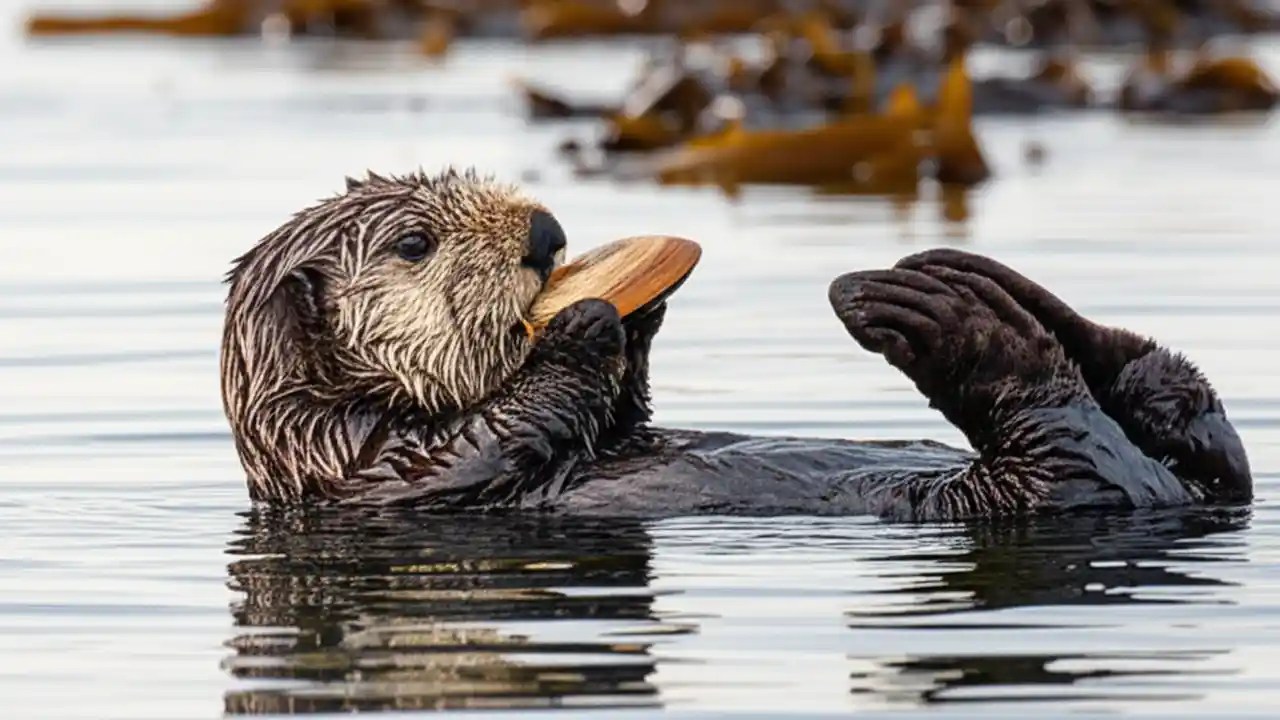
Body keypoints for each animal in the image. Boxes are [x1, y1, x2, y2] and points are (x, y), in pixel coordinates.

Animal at [220, 168, 1253, 521]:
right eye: (415, 243)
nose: (547, 235)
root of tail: (1176, 498)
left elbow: (618, 417)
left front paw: (632, 316)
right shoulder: (361, 467)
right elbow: (479, 443)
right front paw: (585, 326)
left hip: (1180, 457)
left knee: (1191, 427)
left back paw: (1009, 296)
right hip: (1042, 490)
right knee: (1071, 443)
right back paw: (948, 319)